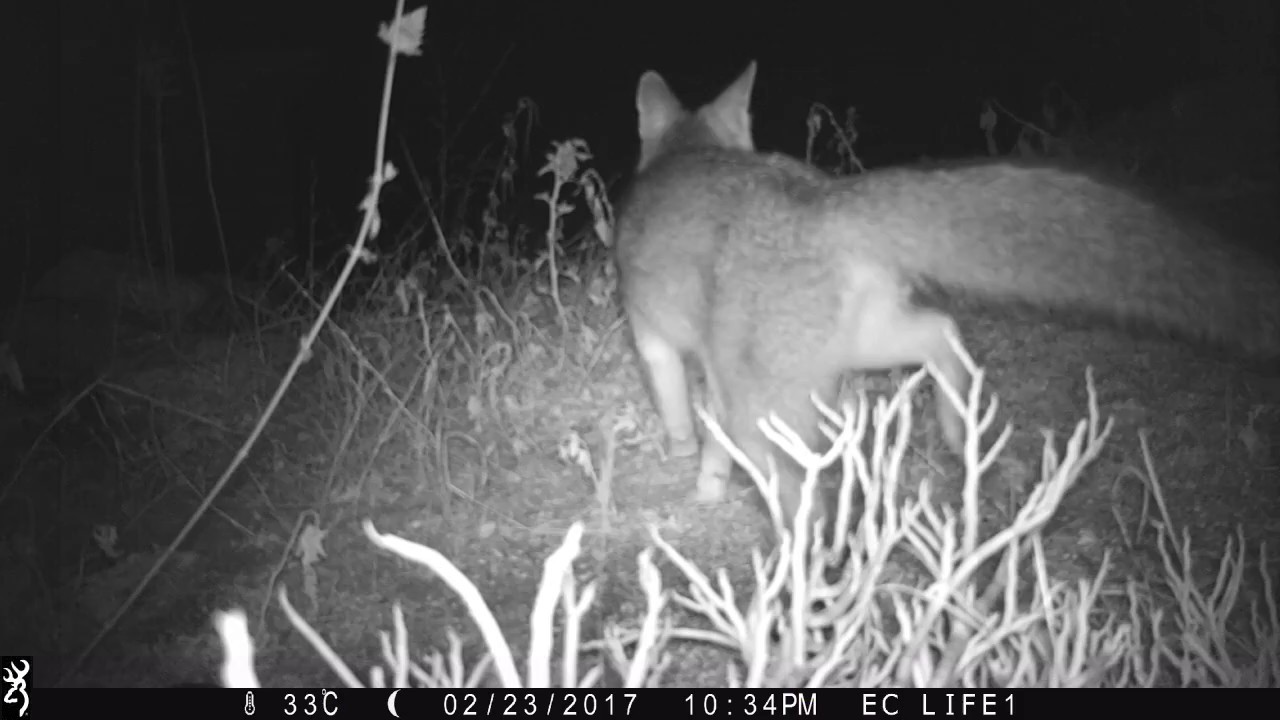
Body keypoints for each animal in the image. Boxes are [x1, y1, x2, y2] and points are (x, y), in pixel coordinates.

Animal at [612, 61, 1280, 534]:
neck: (689, 150)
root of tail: (826, 203)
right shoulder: (709, 373)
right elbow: (710, 439)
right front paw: (708, 482)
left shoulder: (653, 341)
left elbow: (681, 417)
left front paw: (687, 467)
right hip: (857, 351)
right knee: (944, 333)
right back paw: (964, 433)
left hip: (768, 411)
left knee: (807, 499)